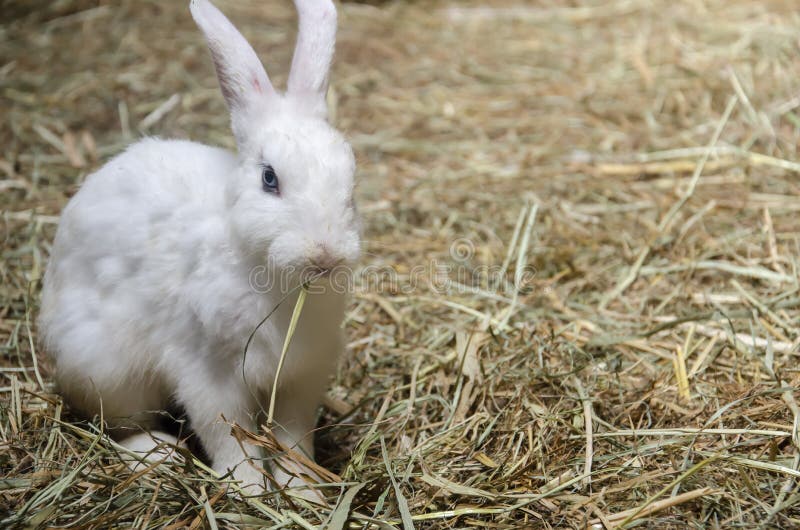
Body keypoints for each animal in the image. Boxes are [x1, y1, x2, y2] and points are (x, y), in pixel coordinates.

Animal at [38, 0, 360, 495]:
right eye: (270, 179)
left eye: (350, 179)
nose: (324, 255)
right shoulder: (208, 375)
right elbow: (228, 438)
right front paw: (248, 491)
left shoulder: (299, 379)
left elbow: (293, 440)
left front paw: (303, 489)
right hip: (106, 370)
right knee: (114, 426)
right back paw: (160, 453)